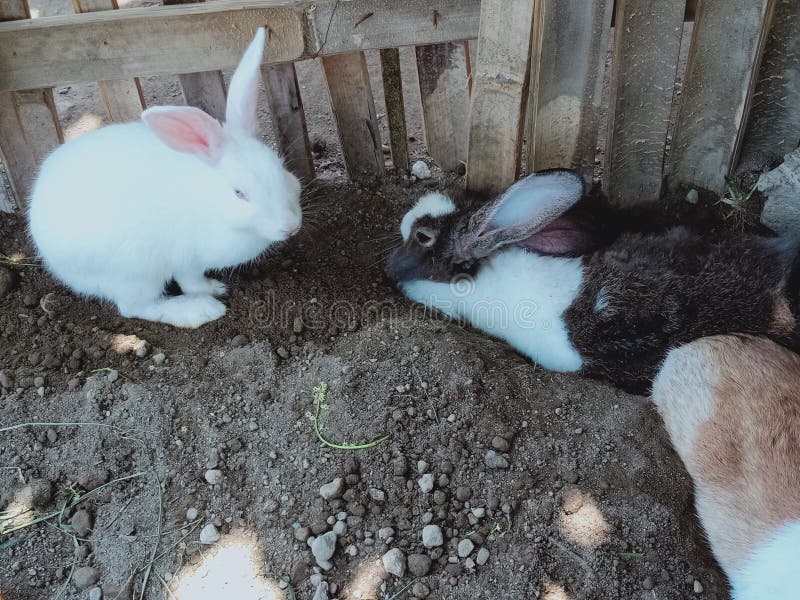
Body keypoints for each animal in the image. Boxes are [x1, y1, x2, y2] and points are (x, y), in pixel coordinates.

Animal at [27, 28, 302, 328]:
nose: (290, 228)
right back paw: (200, 311)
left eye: (280, 169)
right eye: (239, 193)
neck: (210, 203)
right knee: (135, 308)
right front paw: (211, 293)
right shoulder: (187, 259)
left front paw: (215, 287)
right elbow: (191, 281)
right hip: (134, 275)